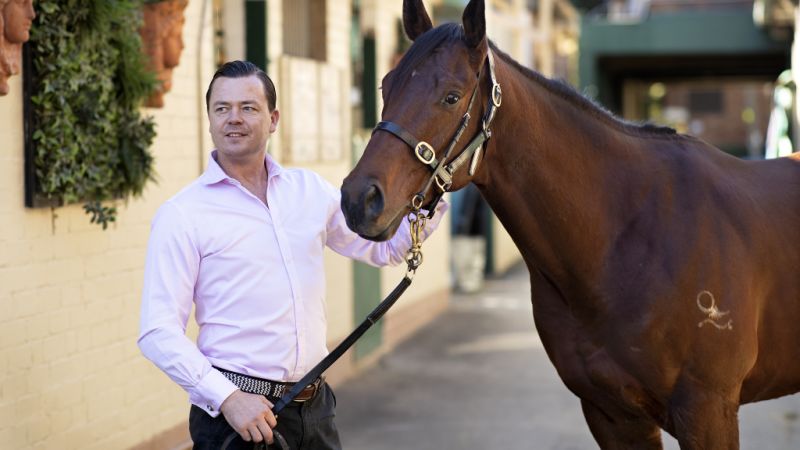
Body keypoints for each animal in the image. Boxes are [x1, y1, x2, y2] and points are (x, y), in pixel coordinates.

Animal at [340, 0, 800, 448]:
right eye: (385, 86)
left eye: (451, 97)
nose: (359, 199)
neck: (629, 236)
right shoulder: (612, 416)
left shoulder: (707, 412)